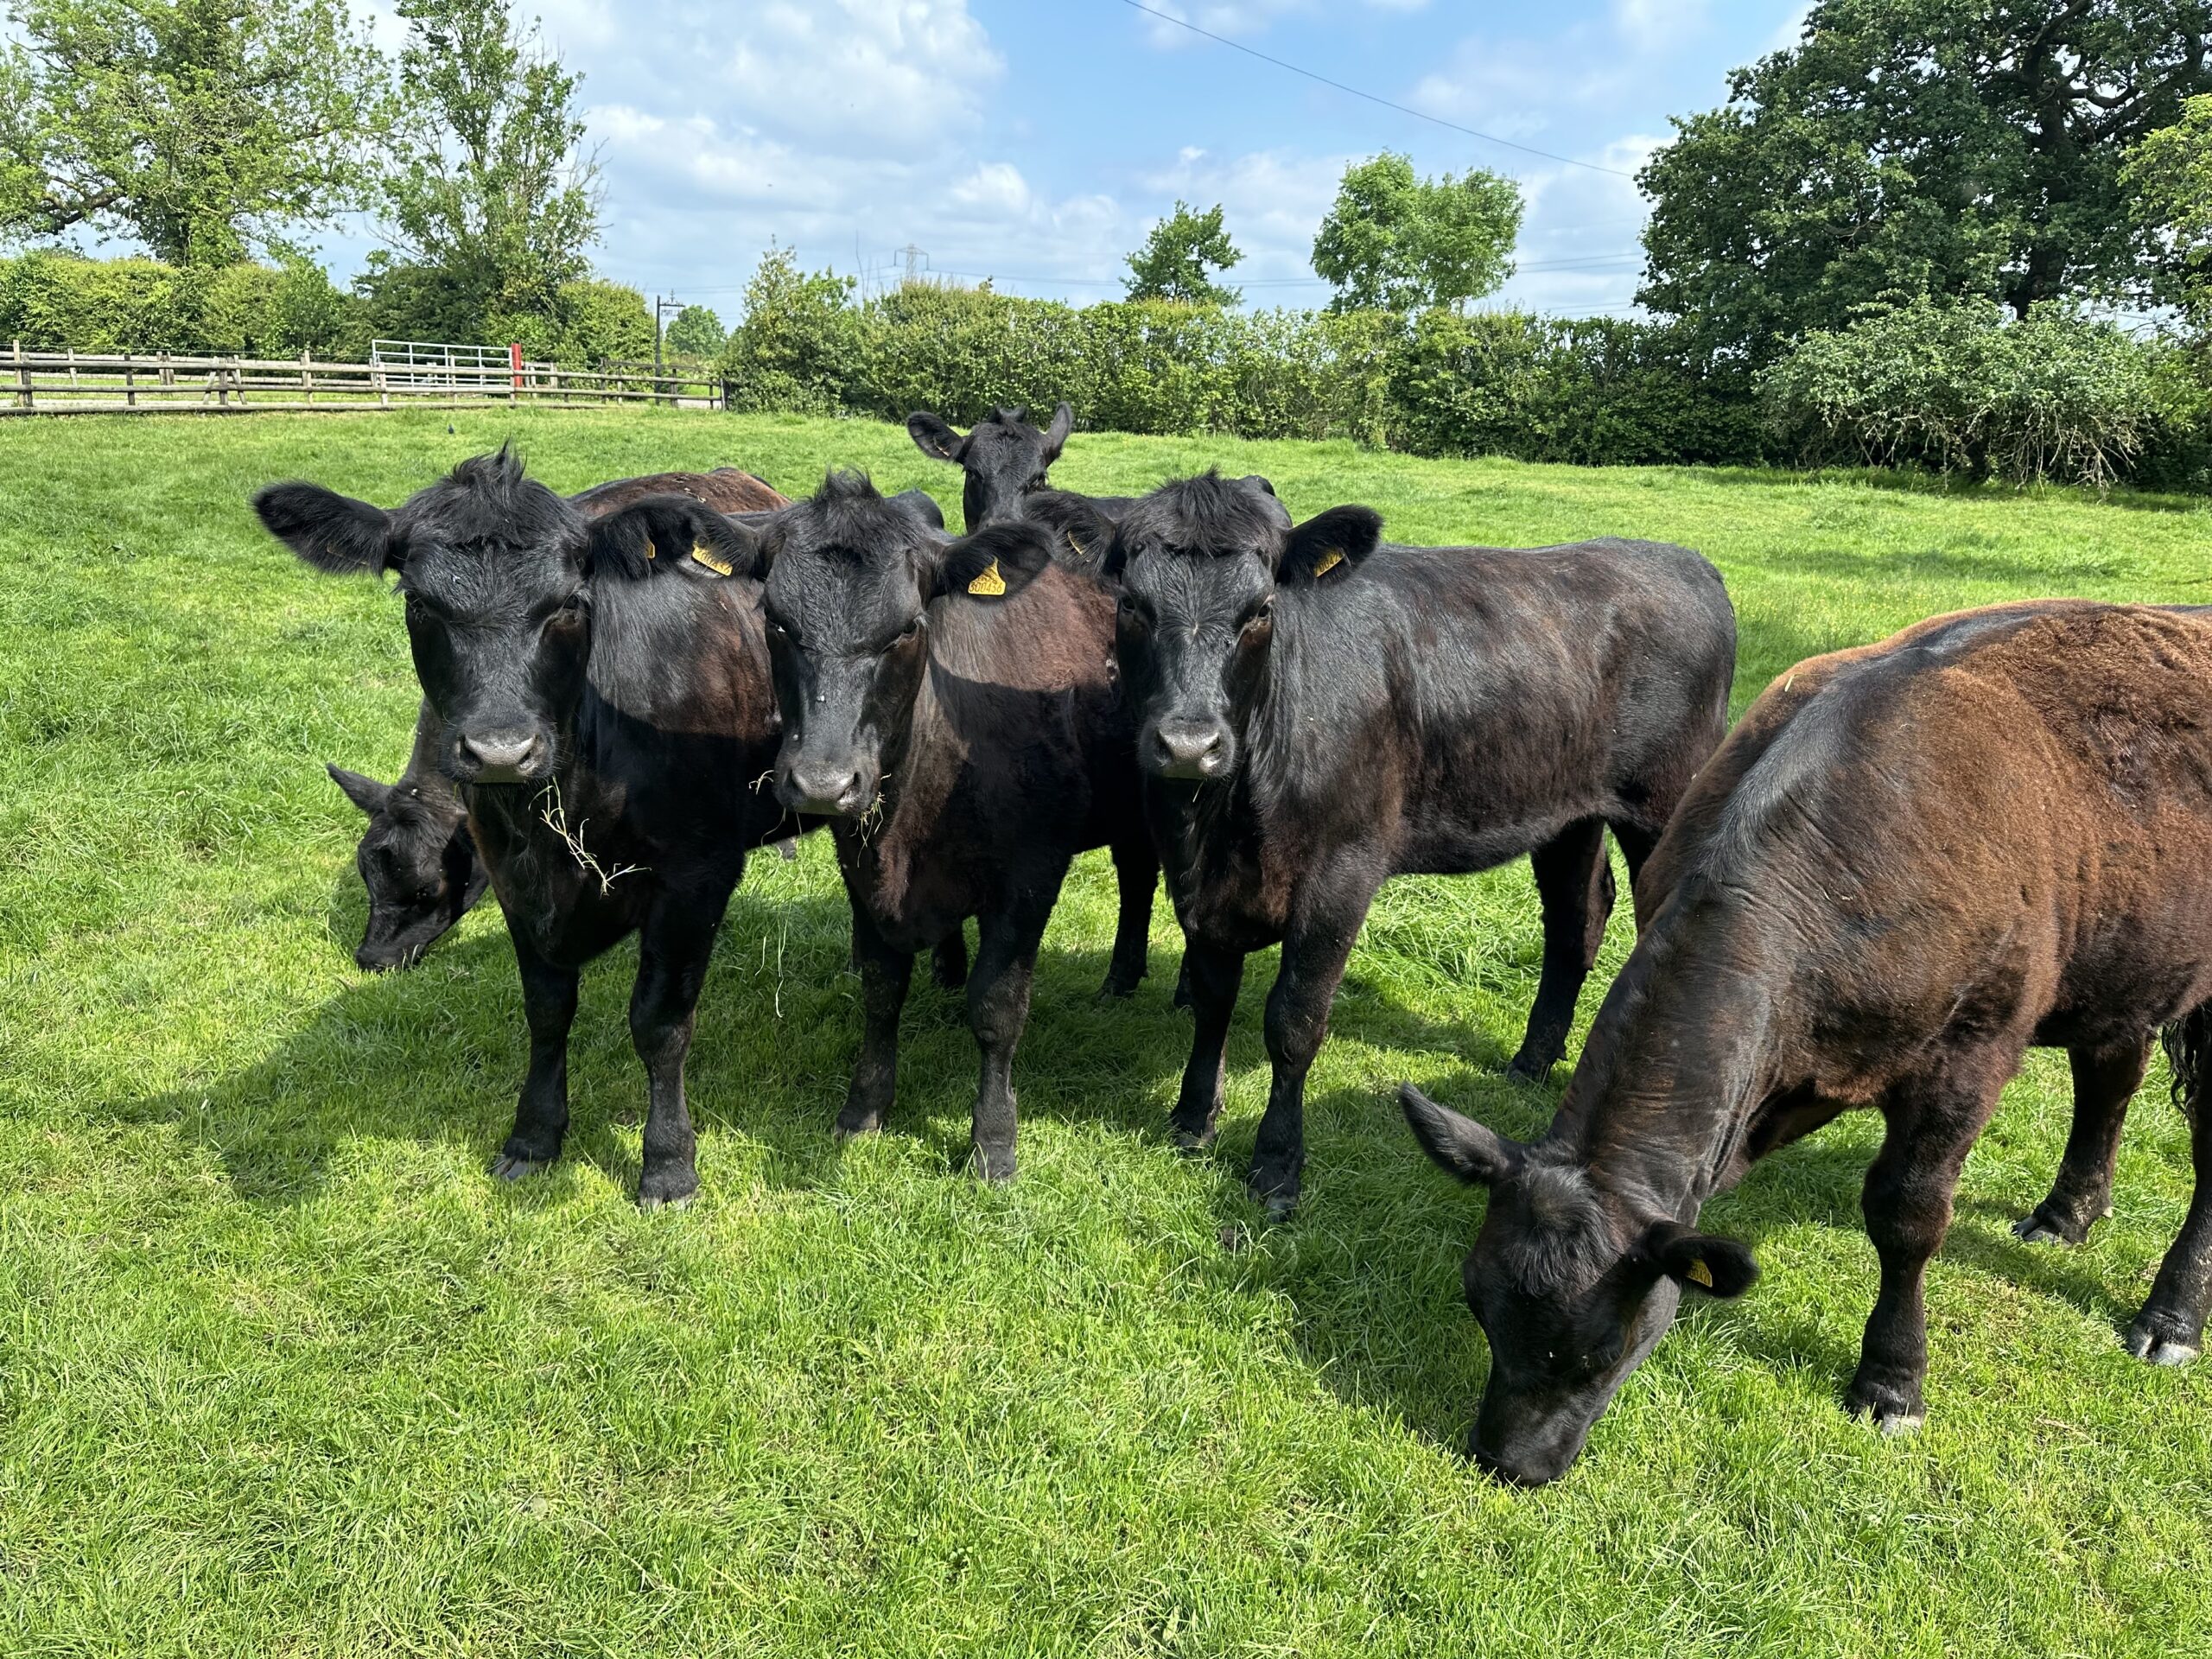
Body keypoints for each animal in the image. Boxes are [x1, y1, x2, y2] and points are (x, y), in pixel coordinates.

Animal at [754, 471, 1163, 1181]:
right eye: (776, 622)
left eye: (907, 628)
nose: (823, 783)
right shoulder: (860, 866)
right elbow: (882, 990)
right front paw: (864, 1109)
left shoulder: (1031, 875)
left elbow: (997, 1009)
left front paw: (993, 1142)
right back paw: (1117, 978)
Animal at [1079, 472, 1735, 1218]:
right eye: (1131, 603)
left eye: (1262, 609)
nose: (1190, 745)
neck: (1224, 818)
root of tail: (1681, 560)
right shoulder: (1198, 878)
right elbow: (1214, 998)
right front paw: (1192, 1119)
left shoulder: (1342, 872)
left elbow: (1294, 1021)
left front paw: (1276, 1167)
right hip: (1566, 811)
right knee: (1577, 919)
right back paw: (1530, 1064)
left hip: (1668, 801)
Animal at [1403, 601, 2212, 1485]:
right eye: (1478, 1304)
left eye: (1598, 1351)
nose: (1506, 1462)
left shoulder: (1972, 1049)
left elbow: (1906, 1214)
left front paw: (1892, 1384)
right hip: (2125, 965)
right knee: (2112, 1073)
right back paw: (2068, 1215)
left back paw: (2171, 1318)